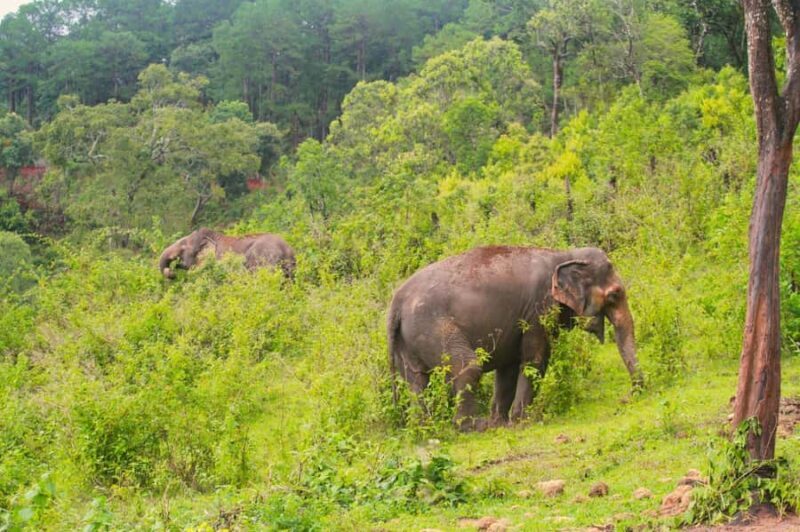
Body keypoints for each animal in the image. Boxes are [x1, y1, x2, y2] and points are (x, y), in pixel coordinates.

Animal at [386, 246, 641, 430]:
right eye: (614, 295)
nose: (627, 397)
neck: (564, 255)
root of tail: (396, 302)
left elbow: (508, 367)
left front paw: (501, 422)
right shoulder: (538, 309)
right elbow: (535, 359)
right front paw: (524, 421)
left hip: (409, 338)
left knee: (415, 381)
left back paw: (424, 429)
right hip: (433, 327)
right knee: (468, 368)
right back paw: (472, 427)